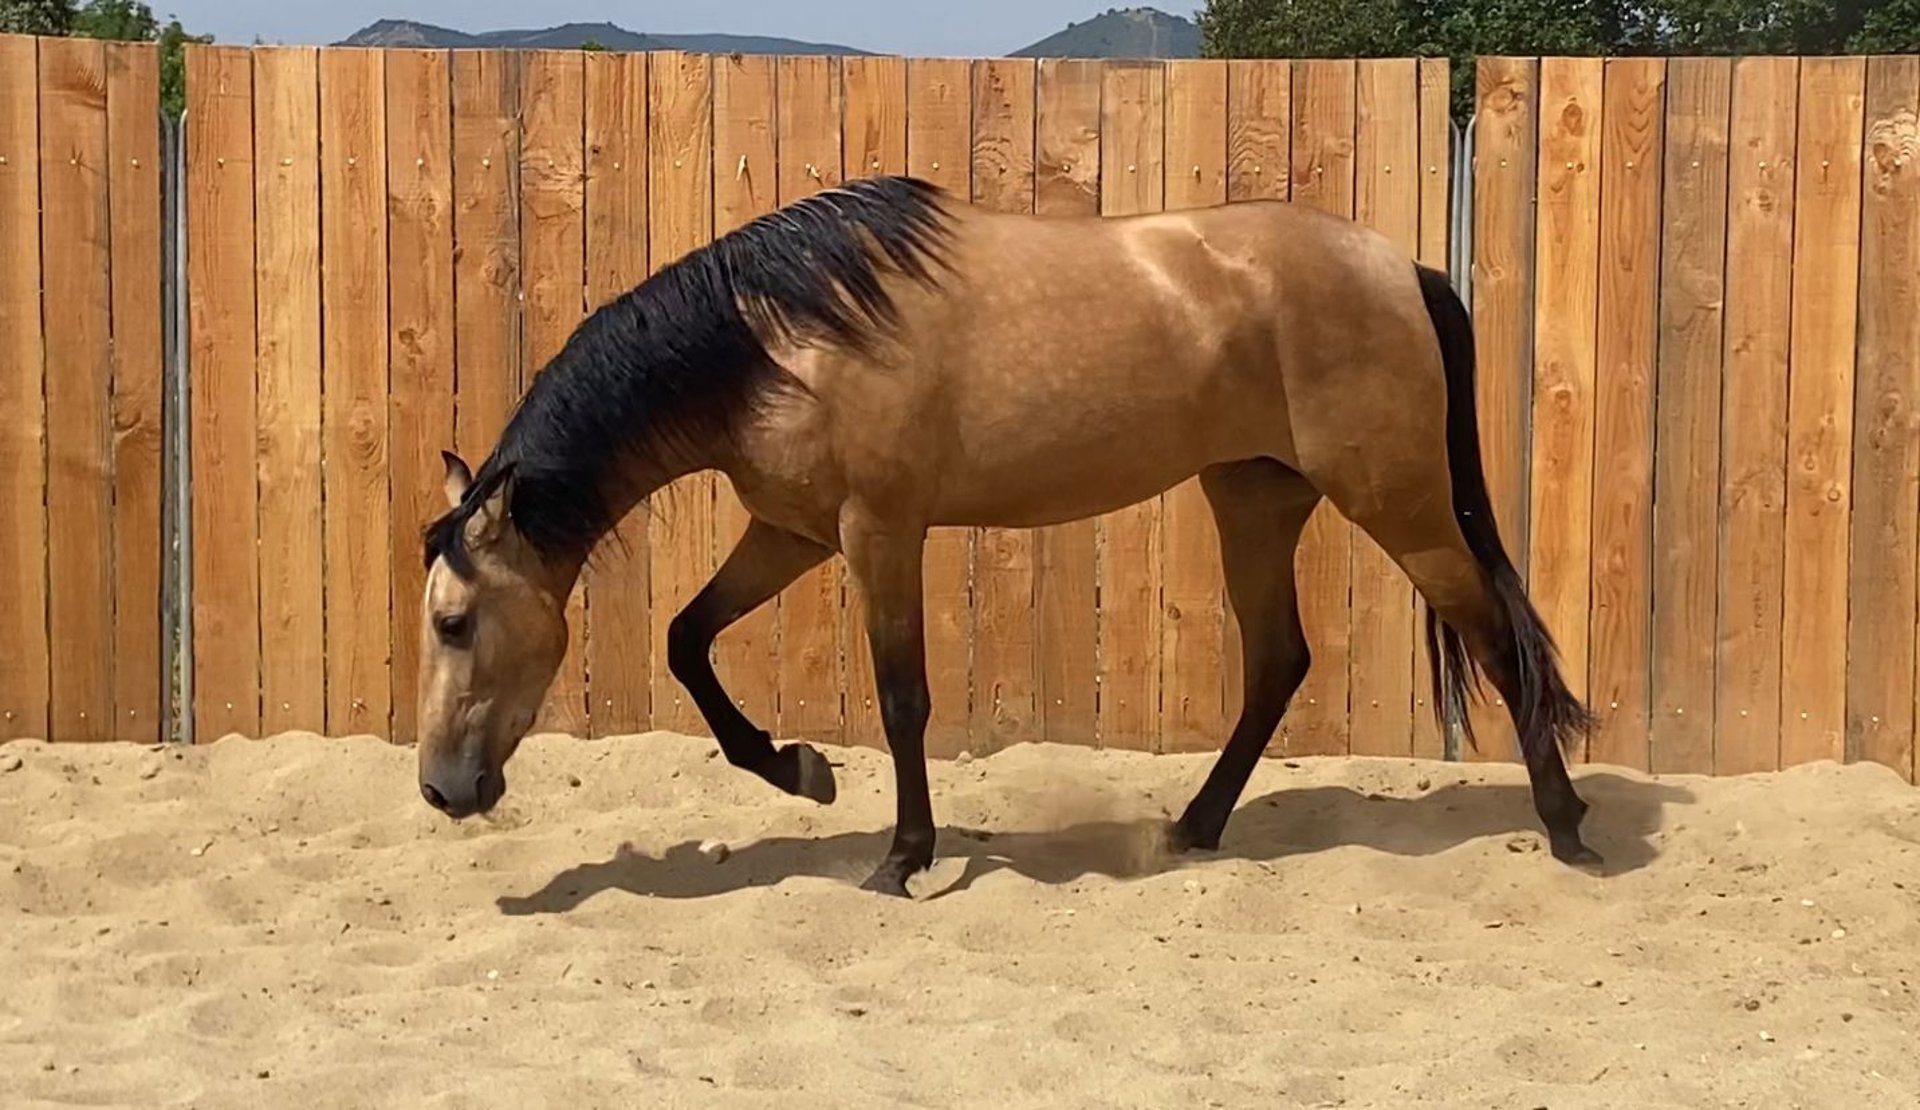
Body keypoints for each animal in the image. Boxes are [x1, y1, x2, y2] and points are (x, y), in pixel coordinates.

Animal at [416, 174, 1600, 898]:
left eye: (455, 621)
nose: (441, 790)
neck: (782, 336)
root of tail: (1403, 269)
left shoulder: (877, 531)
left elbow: (902, 700)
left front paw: (900, 859)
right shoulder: (791, 530)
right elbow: (687, 642)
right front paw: (801, 771)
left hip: (1396, 502)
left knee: (1496, 641)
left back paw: (1570, 828)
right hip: (1253, 498)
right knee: (1279, 662)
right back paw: (1193, 828)